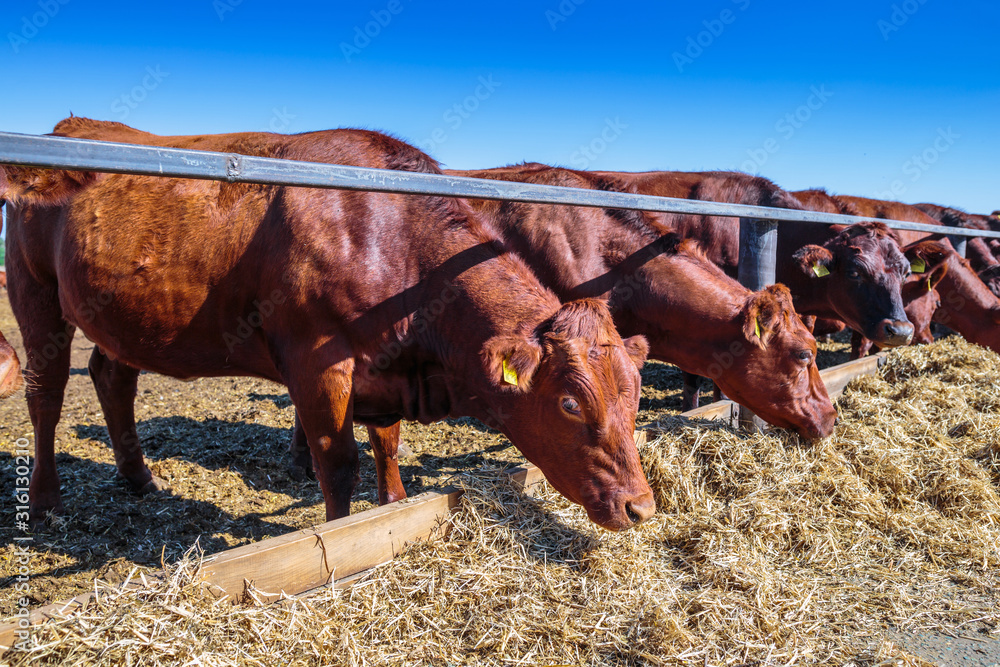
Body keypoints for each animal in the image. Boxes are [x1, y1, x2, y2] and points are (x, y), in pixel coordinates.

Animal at [2, 117, 656, 531]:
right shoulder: (318, 363)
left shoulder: (384, 370)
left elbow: (387, 444)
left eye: (634, 392)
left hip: (122, 316)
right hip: (34, 293)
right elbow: (337, 466)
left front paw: (393, 503)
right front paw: (340, 537)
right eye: (569, 403)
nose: (641, 508)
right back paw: (45, 502)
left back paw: (140, 478)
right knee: (46, 394)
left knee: (112, 375)